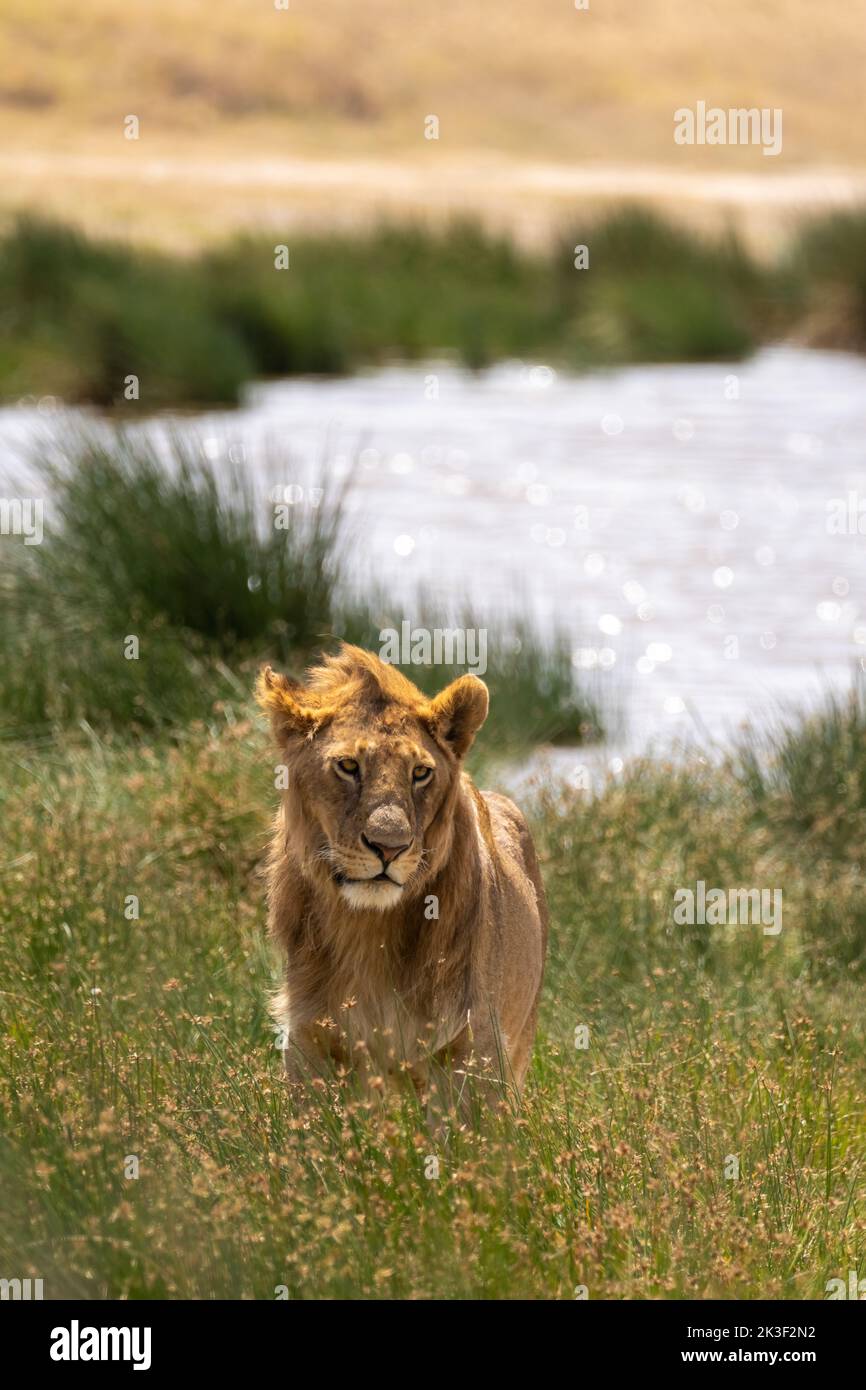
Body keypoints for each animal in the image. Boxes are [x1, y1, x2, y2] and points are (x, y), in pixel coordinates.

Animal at [256, 644, 548, 1115]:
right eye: (348, 766)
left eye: (420, 773)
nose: (389, 847)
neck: (369, 928)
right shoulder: (310, 1038)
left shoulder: (472, 1048)